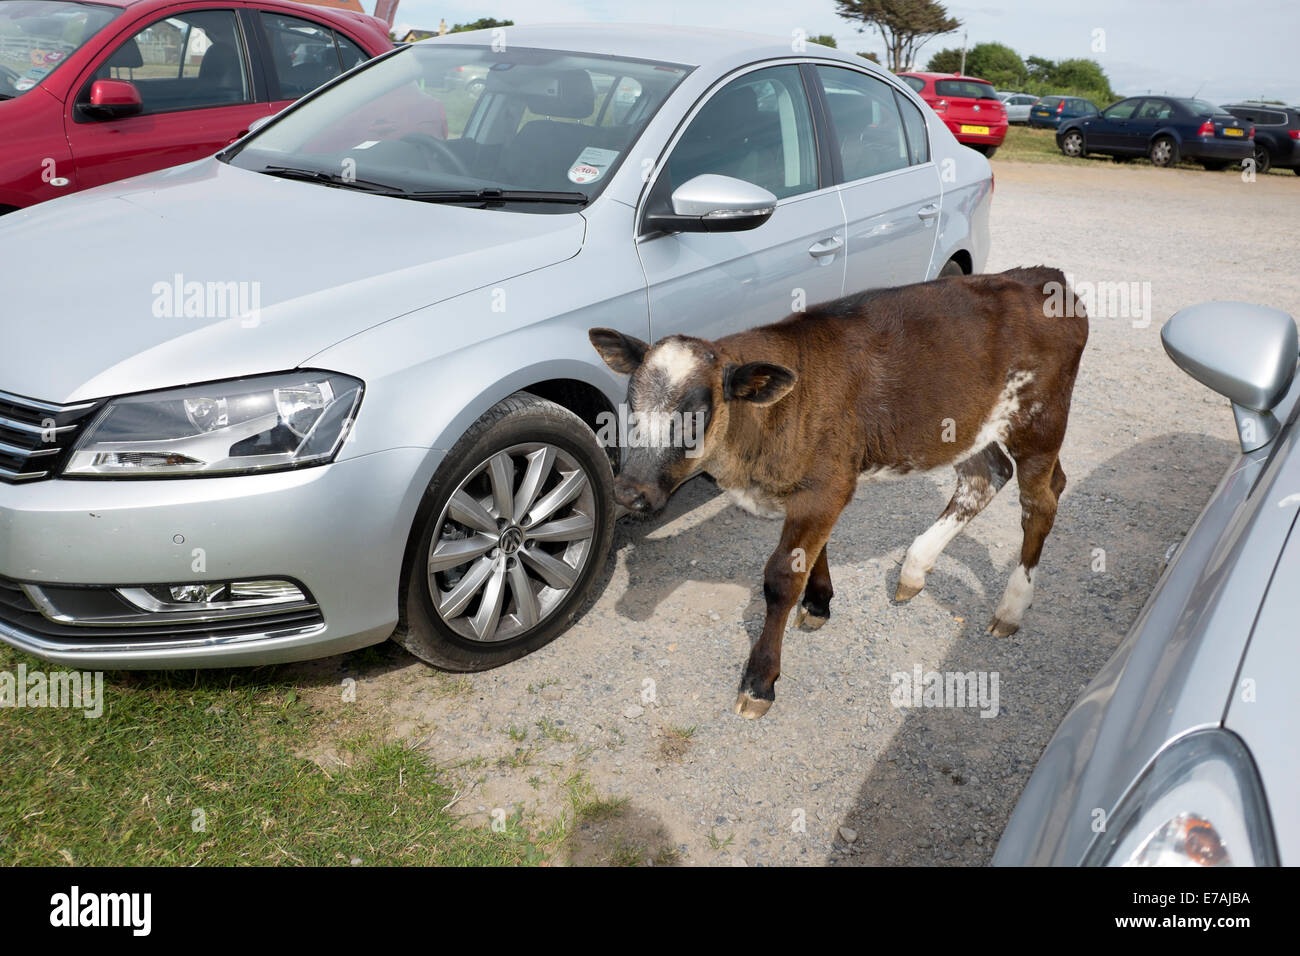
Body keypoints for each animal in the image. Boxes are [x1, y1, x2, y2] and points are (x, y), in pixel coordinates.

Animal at [589, 266, 1088, 719]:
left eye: (696, 415)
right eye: (631, 406)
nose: (629, 492)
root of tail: (1041, 275)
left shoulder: (824, 486)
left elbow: (780, 578)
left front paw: (760, 680)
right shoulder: (820, 488)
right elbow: (815, 550)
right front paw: (819, 601)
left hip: (1040, 421)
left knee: (1039, 502)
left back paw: (1011, 606)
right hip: (968, 426)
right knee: (986, 477)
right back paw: (914, 569)